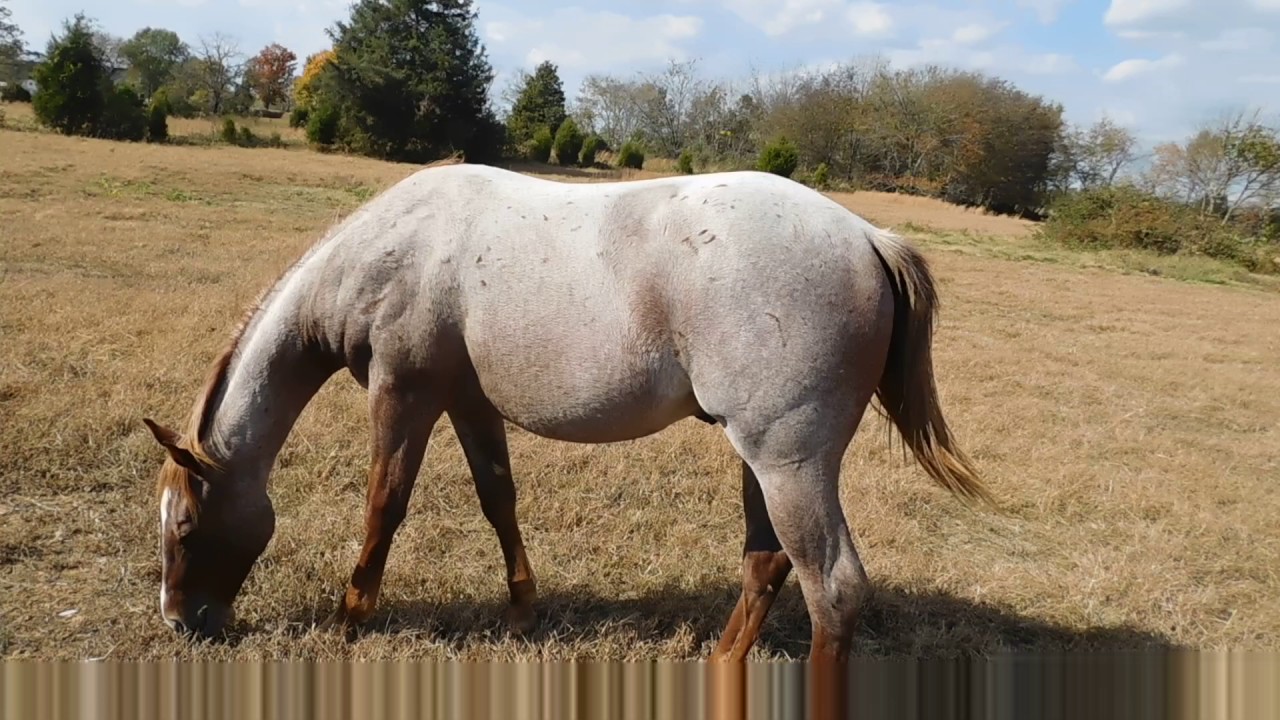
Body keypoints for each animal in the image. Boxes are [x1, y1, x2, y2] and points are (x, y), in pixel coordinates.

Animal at [143, 159, 993, 665]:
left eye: (183, 526)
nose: (179, 620)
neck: (395, 245)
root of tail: (867, 236)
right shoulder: (467, 401)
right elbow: (498, 498)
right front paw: (522, 612)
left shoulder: (404, 394)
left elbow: (385, 504)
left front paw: (353, 614)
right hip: (763, 461)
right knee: (769, 562)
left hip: (788, 461)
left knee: (833, 587)